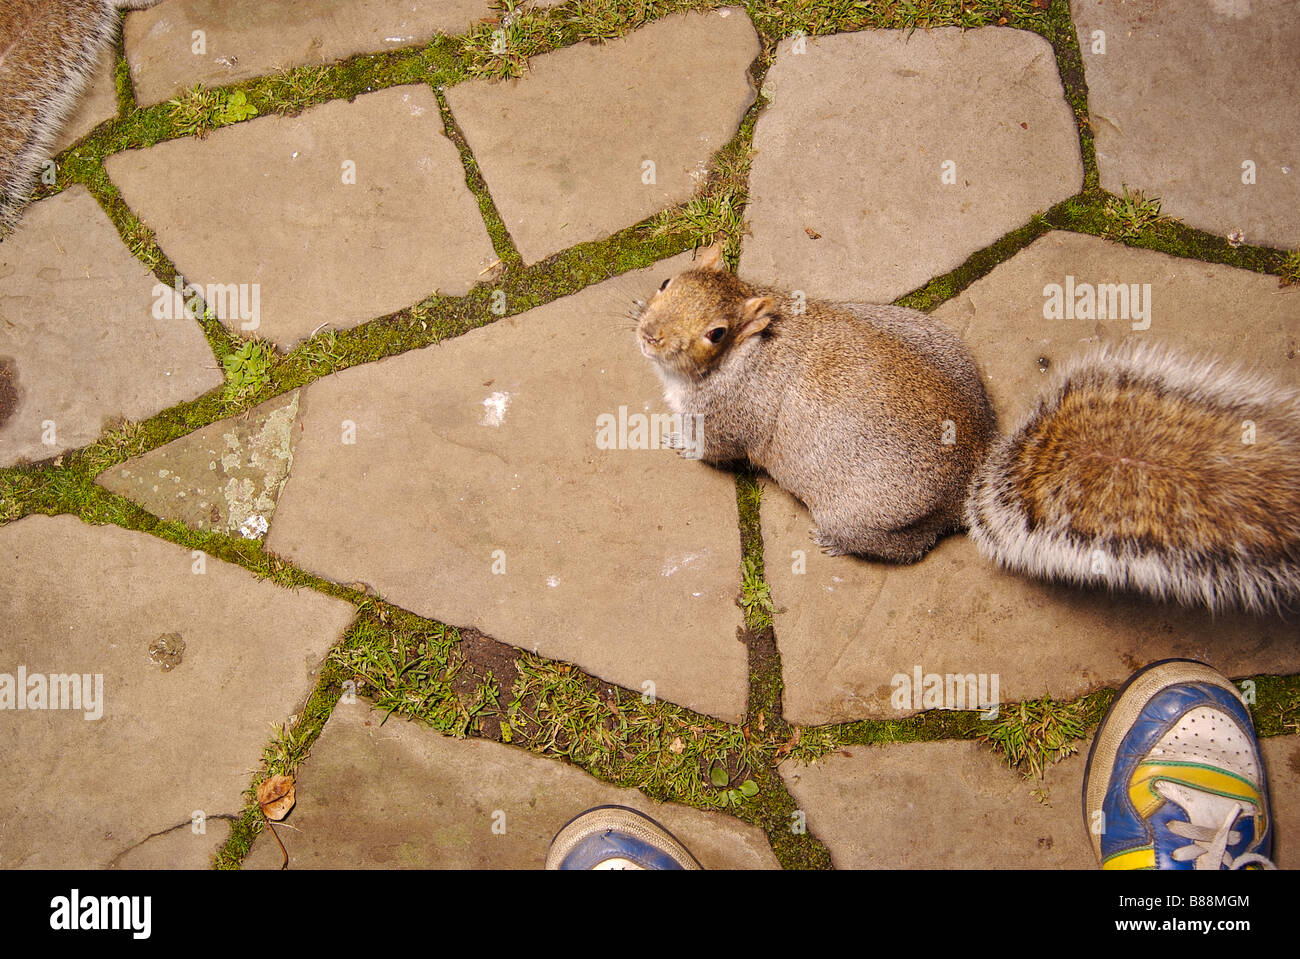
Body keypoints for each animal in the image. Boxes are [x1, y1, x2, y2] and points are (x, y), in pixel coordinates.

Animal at [635, 244, 1300, 616]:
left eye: (716, 333)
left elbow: (714, 450)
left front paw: (676, 441)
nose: (648, 333)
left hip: (868, 514)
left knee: (906, 547)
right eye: (666, 281)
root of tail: (971, 470)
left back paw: (837, 543)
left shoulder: (728, 419)